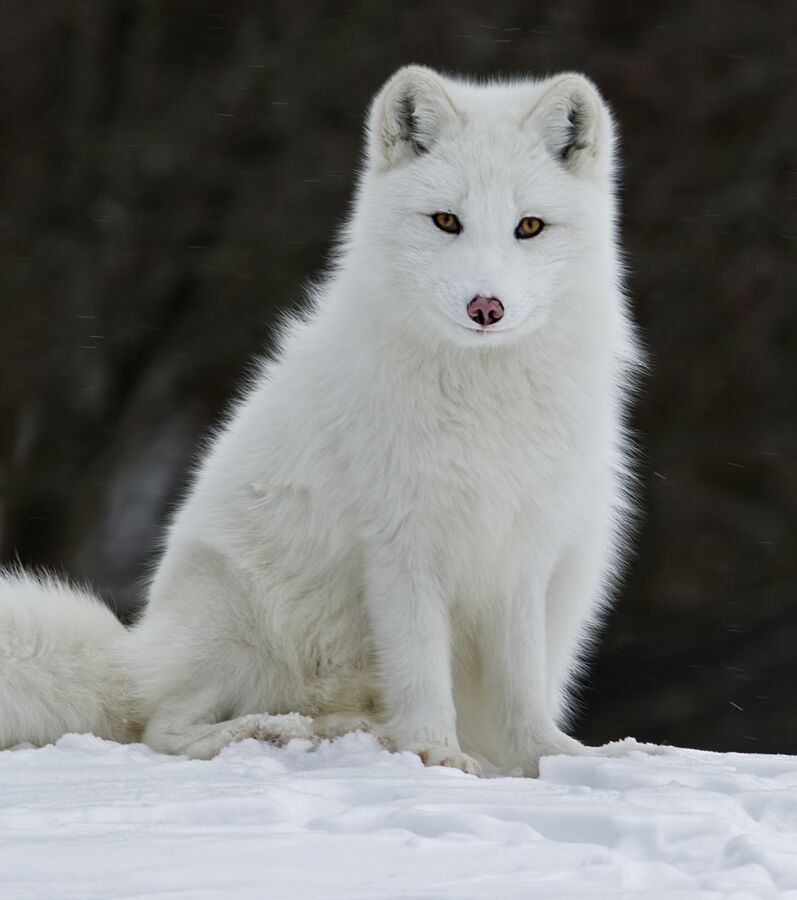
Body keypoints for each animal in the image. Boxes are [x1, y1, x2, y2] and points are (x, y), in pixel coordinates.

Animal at [1, 66, 645, 777]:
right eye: (447, 221)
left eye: (529, 226)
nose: (486, 307)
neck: (484, 400)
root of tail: (134, 649)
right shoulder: (402, 545)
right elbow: (421, 666)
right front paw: (436, 755)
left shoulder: (522, 549)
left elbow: (522, 687)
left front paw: (551, 758)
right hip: (238, 615)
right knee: (160, 727)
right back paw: (283, 731)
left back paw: (345, 728)